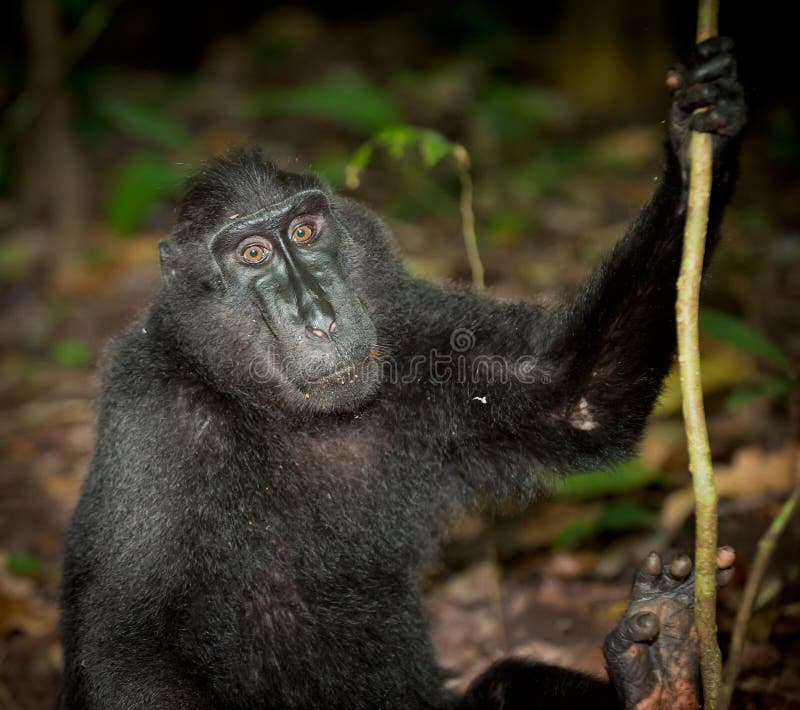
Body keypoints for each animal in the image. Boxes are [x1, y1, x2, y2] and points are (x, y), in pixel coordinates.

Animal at [59, 37, 745, 709]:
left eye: (304, 231)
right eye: (252, 253)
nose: (321, 316)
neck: (284, 416)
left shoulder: (413, 333)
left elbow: (573, 400)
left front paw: (700, 135)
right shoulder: (157, 420)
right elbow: (131, 651)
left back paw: (659, 673)